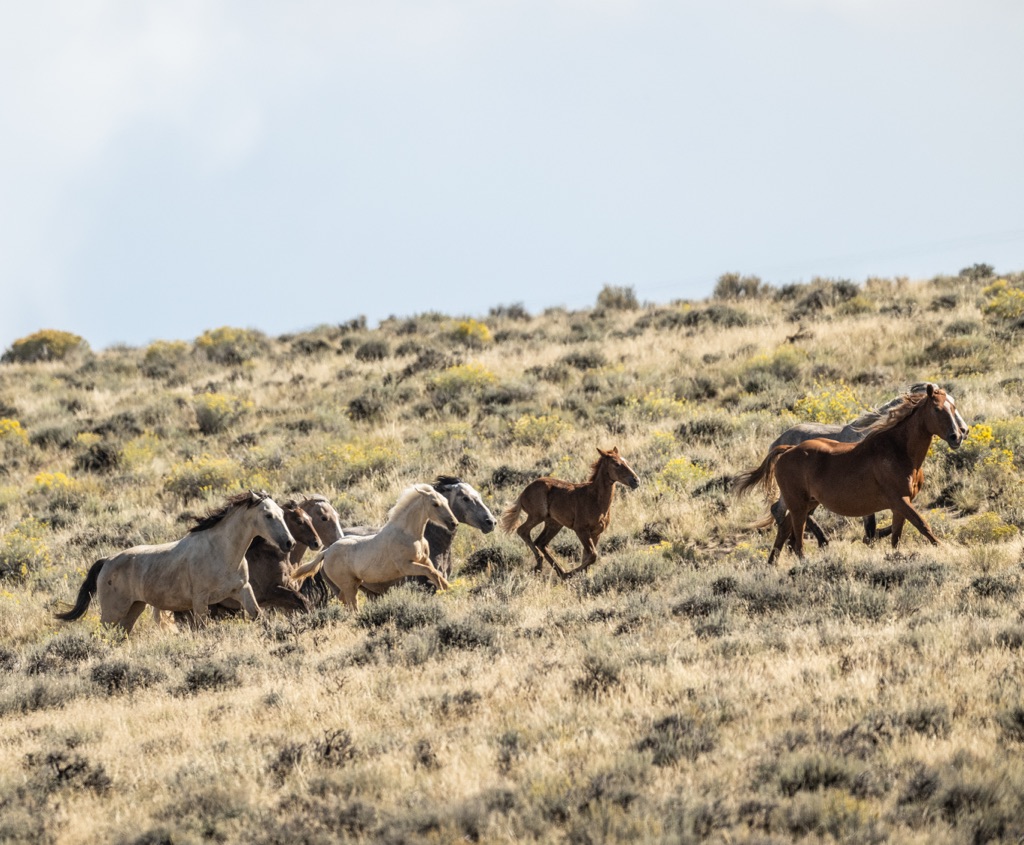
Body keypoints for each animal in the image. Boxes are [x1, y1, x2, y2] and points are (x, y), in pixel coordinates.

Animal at [57, 490, 295, 634]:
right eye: (268, 515)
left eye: (282, 513)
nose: (289, 543)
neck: (222, 552)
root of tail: (107, 561)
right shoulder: (200, 601)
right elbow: (203, 628)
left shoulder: (243, 589)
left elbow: (259, 616)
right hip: (112, 612)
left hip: (134, 608)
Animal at [291, 484, 458, 610]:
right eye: (435, 504)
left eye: (445, 500)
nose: (453, 523)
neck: (409, 534)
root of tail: (326, 552)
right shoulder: (406, 566)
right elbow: (430, 572)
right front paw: (446, 590)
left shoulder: (424, 559)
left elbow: (436, 573)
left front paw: (448, 589)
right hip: (349, 585)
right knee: (352, 605)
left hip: (354, 583)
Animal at [499, 447, 640, 578]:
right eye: (616, 463)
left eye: (625, 461)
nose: (636, 480)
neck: (594, 498)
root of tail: (523, 493)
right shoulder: (581, 530)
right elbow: (593, 555)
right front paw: (573, 574)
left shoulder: (596, 533)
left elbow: (587, 556)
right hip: (537, 516)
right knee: (523, 531)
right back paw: (544, 566)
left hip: (554, 524)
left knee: (541, 542)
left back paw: (558, 572)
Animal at [734, 385, 964, 564]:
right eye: (937, 409)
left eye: (953, 407)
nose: (958, 436)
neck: (898, 450)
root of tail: (787, 449)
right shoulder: (899, 500)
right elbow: (922, 525)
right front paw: (945, 549)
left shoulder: (900, 505)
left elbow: (897, 536)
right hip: (798, 503)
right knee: (796, 538)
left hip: (808, 502)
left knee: (784, 528)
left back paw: (772, 563)